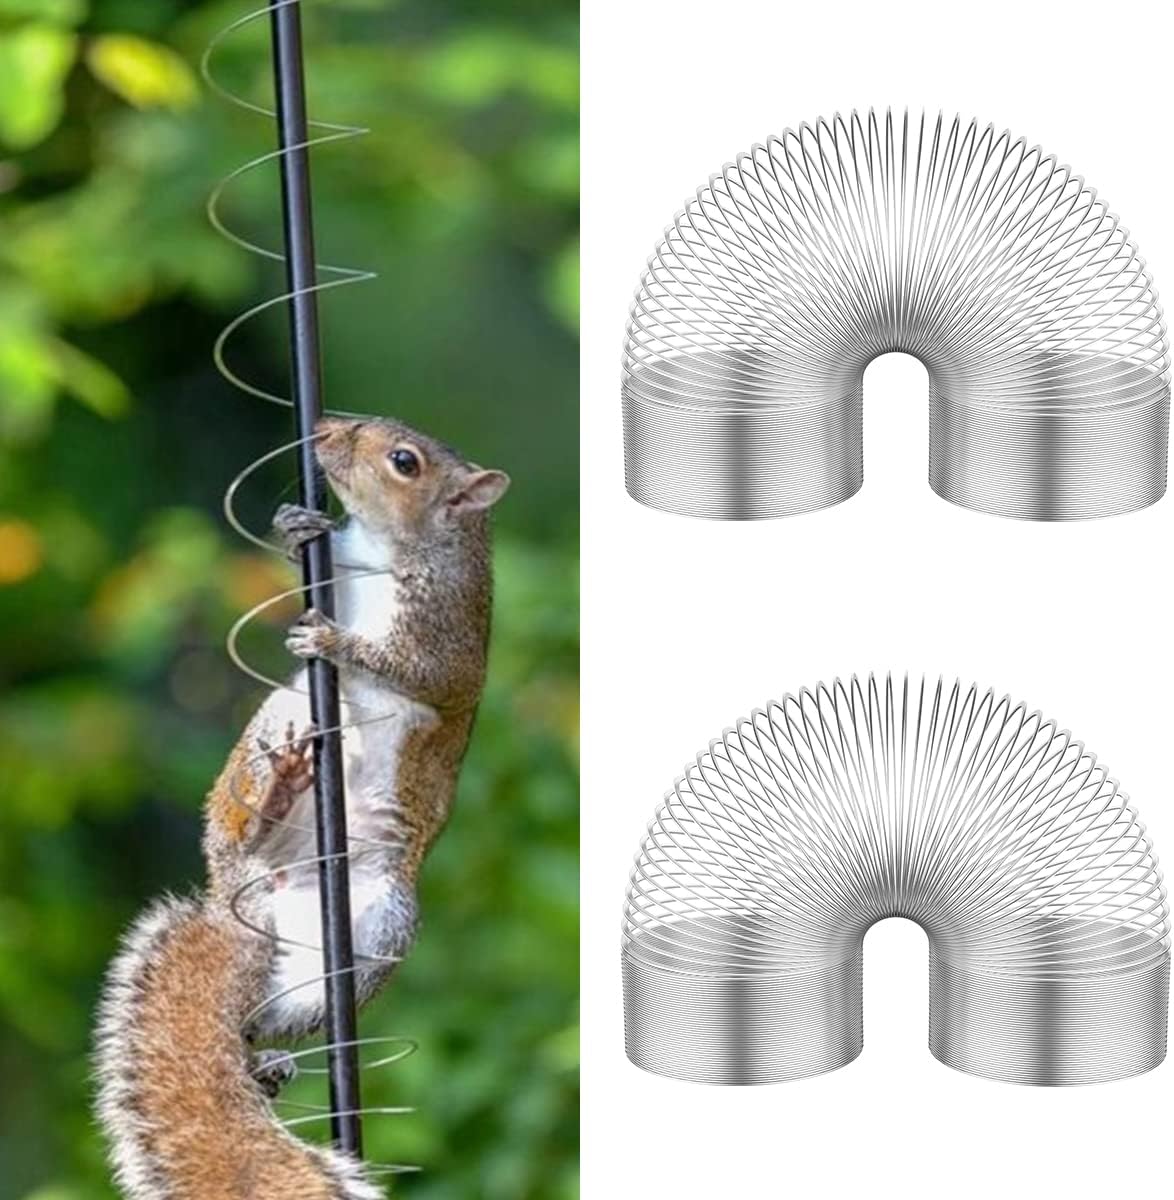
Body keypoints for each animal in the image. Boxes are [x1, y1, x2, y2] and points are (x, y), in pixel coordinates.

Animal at [204, 415, 509, 1042]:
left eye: (405, 461)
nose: (325, 427)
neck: (383, 544)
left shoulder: (448, 636)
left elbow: (419, 673)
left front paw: (335, 642)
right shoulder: (339, 565)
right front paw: (291, 526)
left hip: (384, 923)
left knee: (290, 1011)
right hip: (278, 724)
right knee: (246, 833)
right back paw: (273, 798)